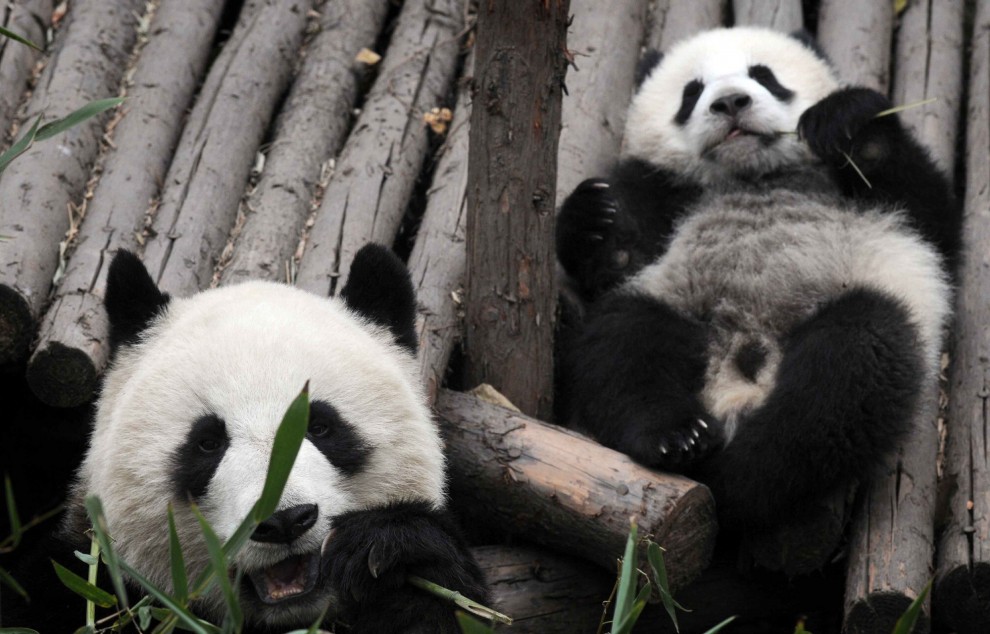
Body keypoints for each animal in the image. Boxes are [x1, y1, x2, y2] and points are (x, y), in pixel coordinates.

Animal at [556, 27, 962, 529]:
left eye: (764, 76)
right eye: (691, 92)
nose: (730, 102)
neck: (752, 175)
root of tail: (737, 390)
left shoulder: (877, 207)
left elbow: (931, 222)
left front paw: (846, 121)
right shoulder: (664, 191)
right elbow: (617, 264)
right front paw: (592, 217)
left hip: (856, 309)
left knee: (850, 366)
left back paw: (745, 469)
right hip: (676, 302)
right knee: (626, 342)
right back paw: (679, 438)